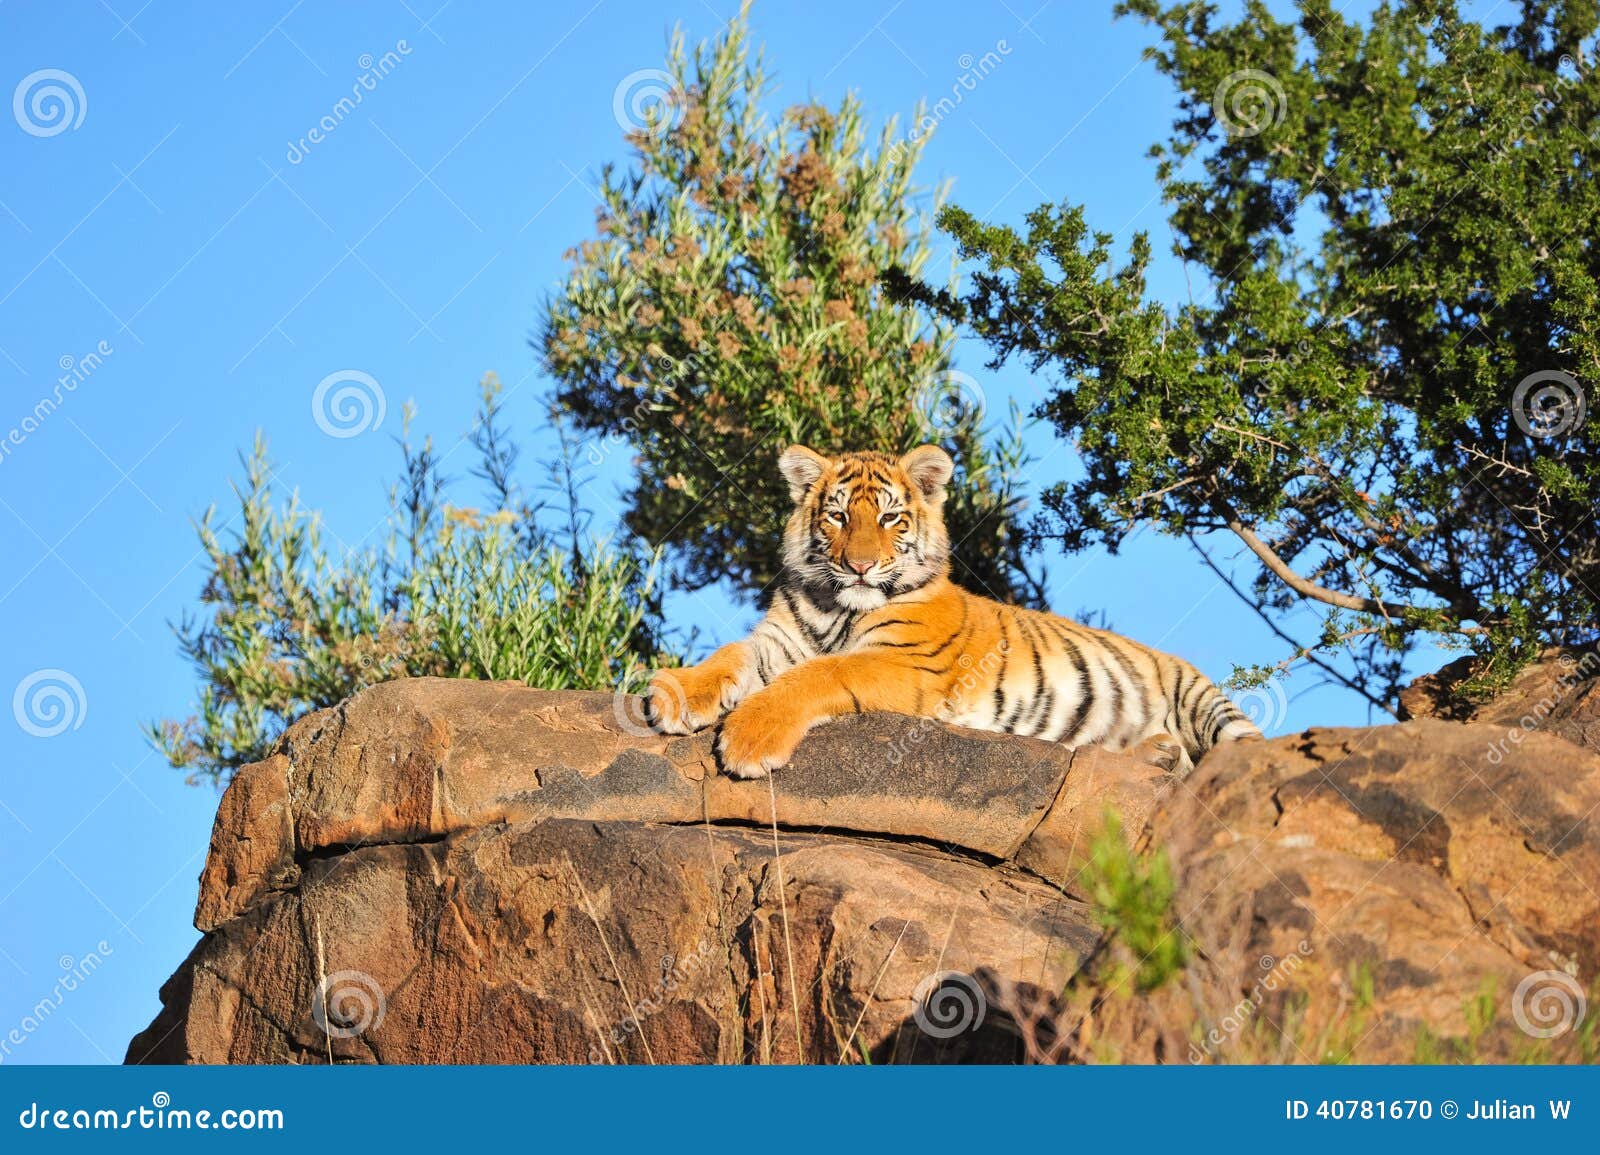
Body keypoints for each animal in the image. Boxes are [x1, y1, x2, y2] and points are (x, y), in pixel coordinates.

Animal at [646, 443, 1263, 779]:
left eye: (890, 518)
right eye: (838, 517)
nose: (860, 566)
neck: (834, 606)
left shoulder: (905, 661)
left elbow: (820, 674)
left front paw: (749, 739)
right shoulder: (779, 641)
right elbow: (730, 653)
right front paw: (673, 695)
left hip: (1203, 700)